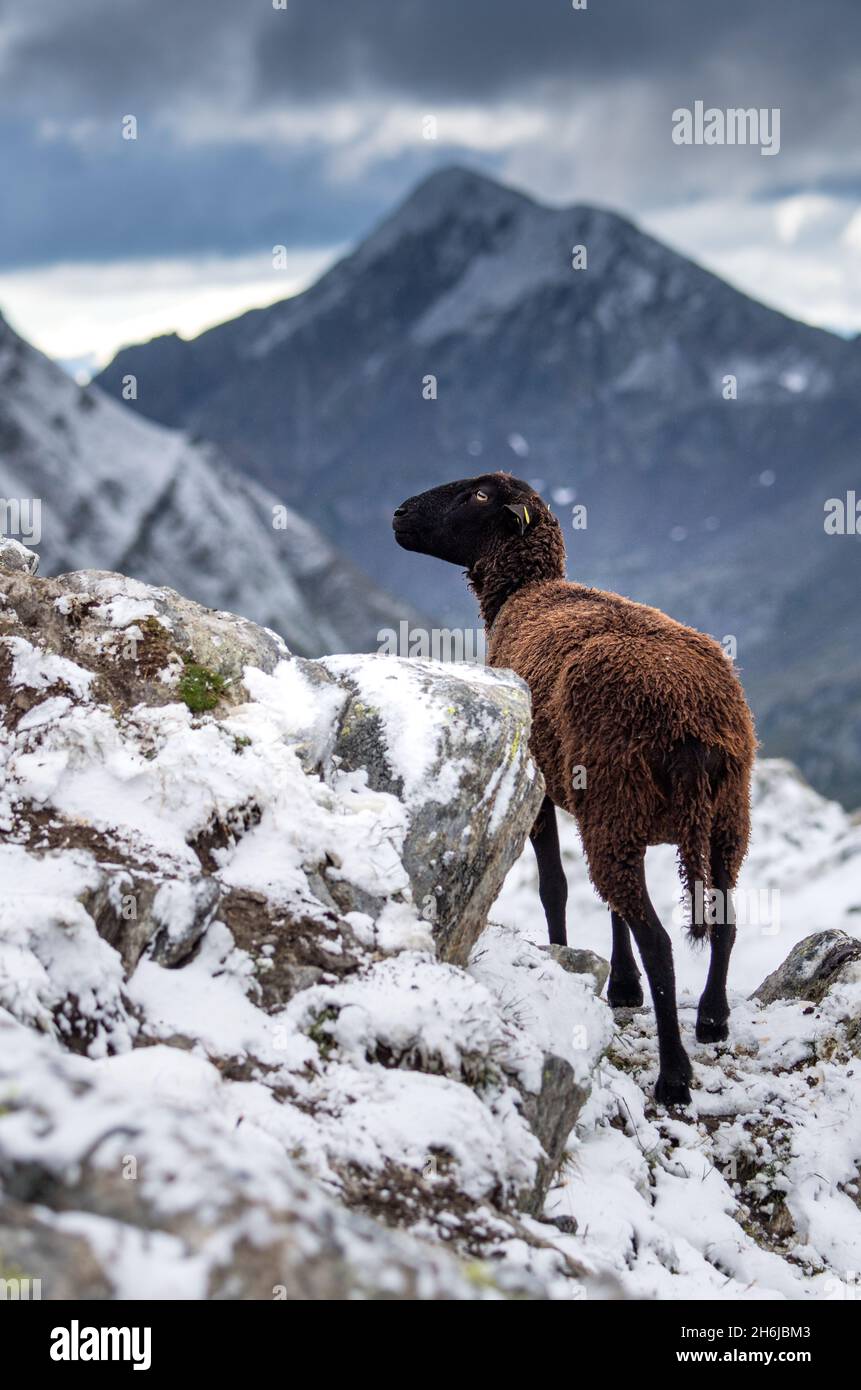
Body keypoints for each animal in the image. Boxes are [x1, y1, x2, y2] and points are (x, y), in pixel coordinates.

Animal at [393, 471, 756, 1106]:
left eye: (478, 495)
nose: (397, 515)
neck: (526, 594)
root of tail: (692, 723)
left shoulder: (542, 790)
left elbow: (555, 890)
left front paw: (563, 959)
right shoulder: (605, 813)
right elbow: (610, 909)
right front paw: (622, 987)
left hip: (629, 804)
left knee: (661, 942)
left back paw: (674, 1076)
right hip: (721, 819)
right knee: (723, 917)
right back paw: (713, 1019)